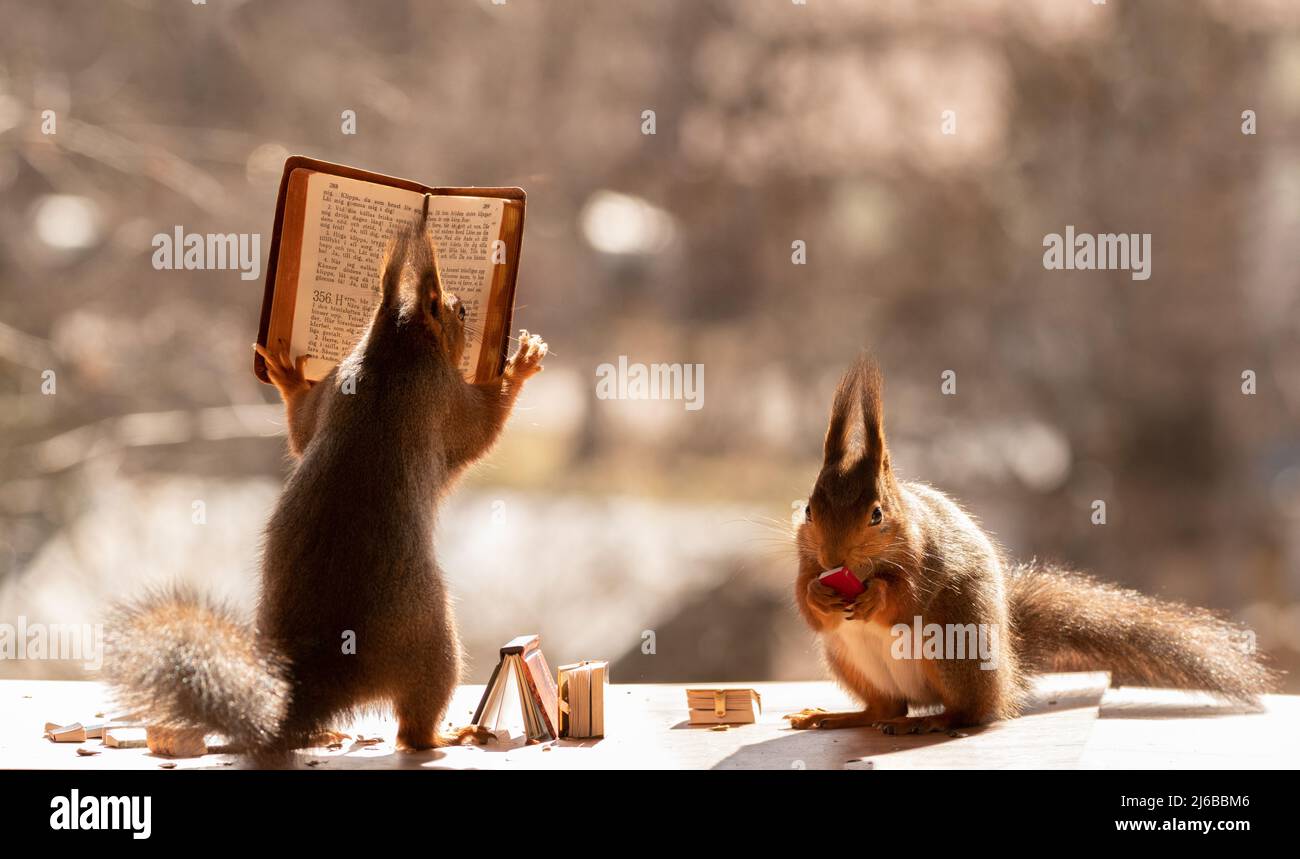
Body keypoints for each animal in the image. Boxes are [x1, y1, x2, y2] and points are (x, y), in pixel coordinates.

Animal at [104, 210, 547, 763]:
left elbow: (302, 428)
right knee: (414, 729)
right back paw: (452, 734)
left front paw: (288, 377)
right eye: (458, 309)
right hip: (435, 644)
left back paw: (319, 734)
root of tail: (327, 678)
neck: (390, 351)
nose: (467, 306)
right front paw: (521, 364)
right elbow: (482, 429)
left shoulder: (335, 384)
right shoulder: (445, 399)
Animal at [787, 354, 1277, 734]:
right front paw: (817, 593)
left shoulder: (926, 557)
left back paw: (931, 720)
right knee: (887, 706)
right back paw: (839, 716)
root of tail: (1008, 673)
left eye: (877, 514)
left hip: (954, 642)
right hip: (849, 660)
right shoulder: (806, 558)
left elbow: (904, 596)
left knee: (970, 712)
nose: (833, 558)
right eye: (808, 511)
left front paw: (876, 595)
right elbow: (806, 602)